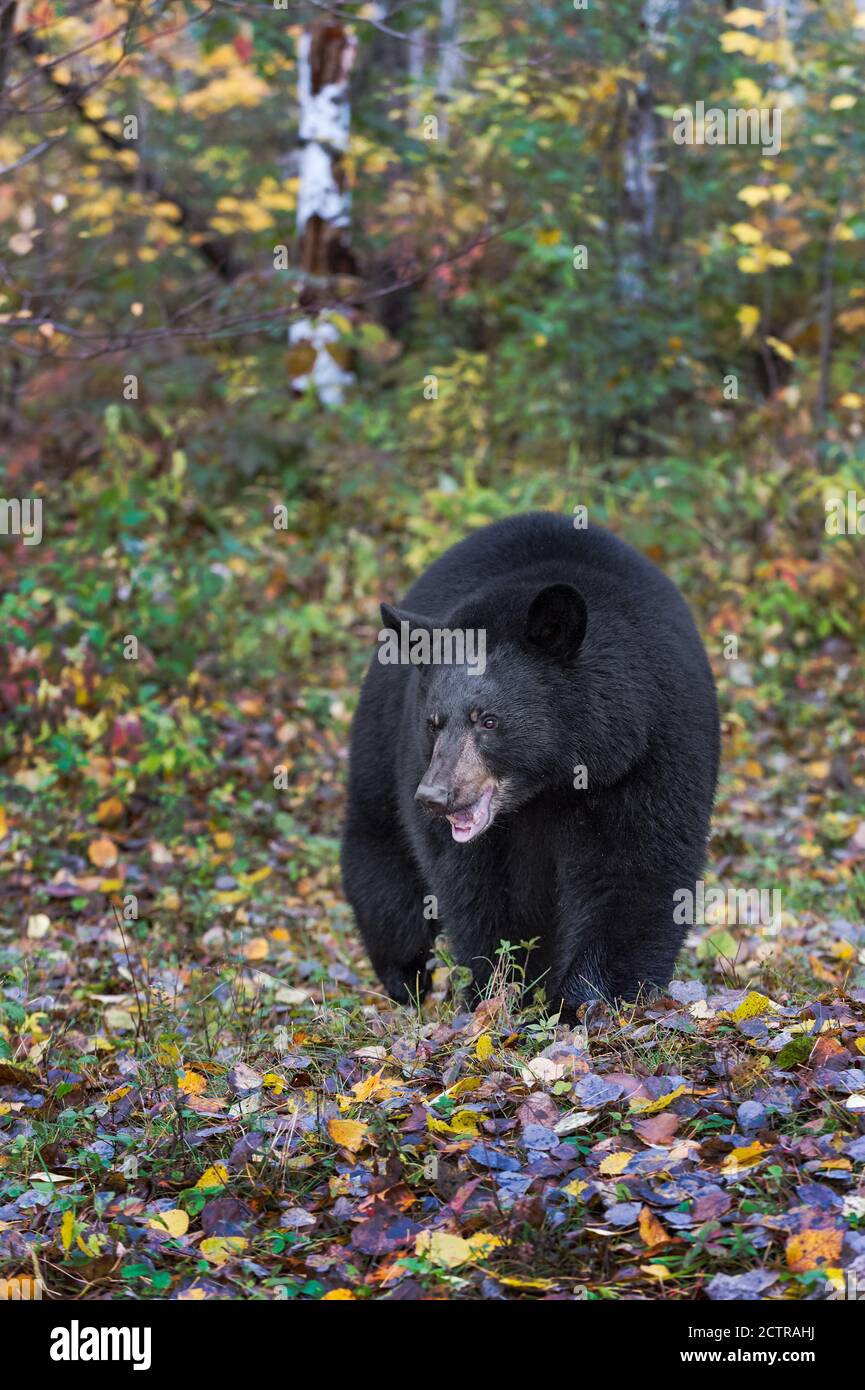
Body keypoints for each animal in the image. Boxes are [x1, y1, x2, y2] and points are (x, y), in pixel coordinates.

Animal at [341, 511, 720, 1018]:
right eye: (434, 722)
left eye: (488, 720)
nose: (434, 796)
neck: (553, 784)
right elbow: (475, 889)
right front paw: (501, 992)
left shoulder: (651, 748)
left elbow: (639, 864)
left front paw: (593, 997)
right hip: (377, 757)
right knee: (384, 875)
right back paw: (407, 981)